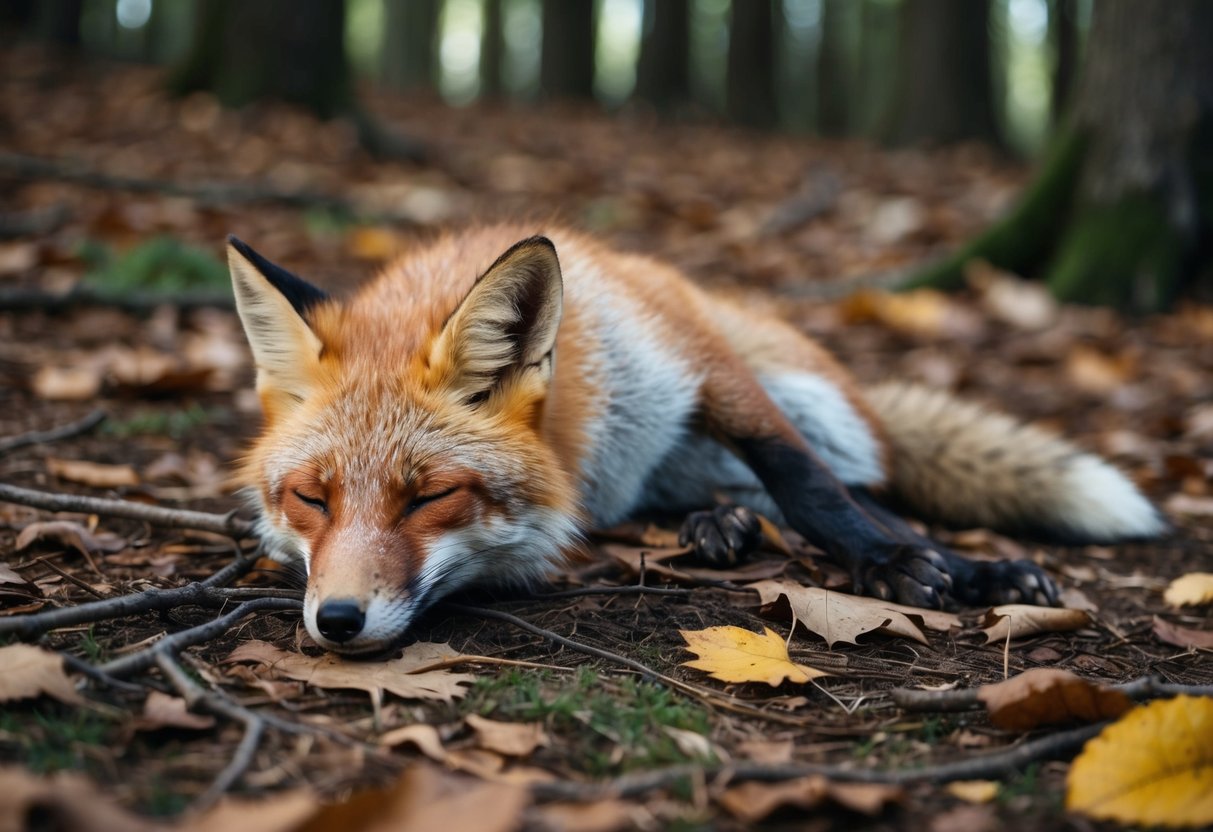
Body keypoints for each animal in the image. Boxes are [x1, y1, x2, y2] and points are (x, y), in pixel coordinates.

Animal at [226, 226, 1165, 656]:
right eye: (310, 499)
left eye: (428, 496)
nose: (337, 620)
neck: (589, 429)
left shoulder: (693, 358)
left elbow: (808, 486)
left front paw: (910, 566)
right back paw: (717, 526)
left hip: (812, 398)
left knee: (857, 482)